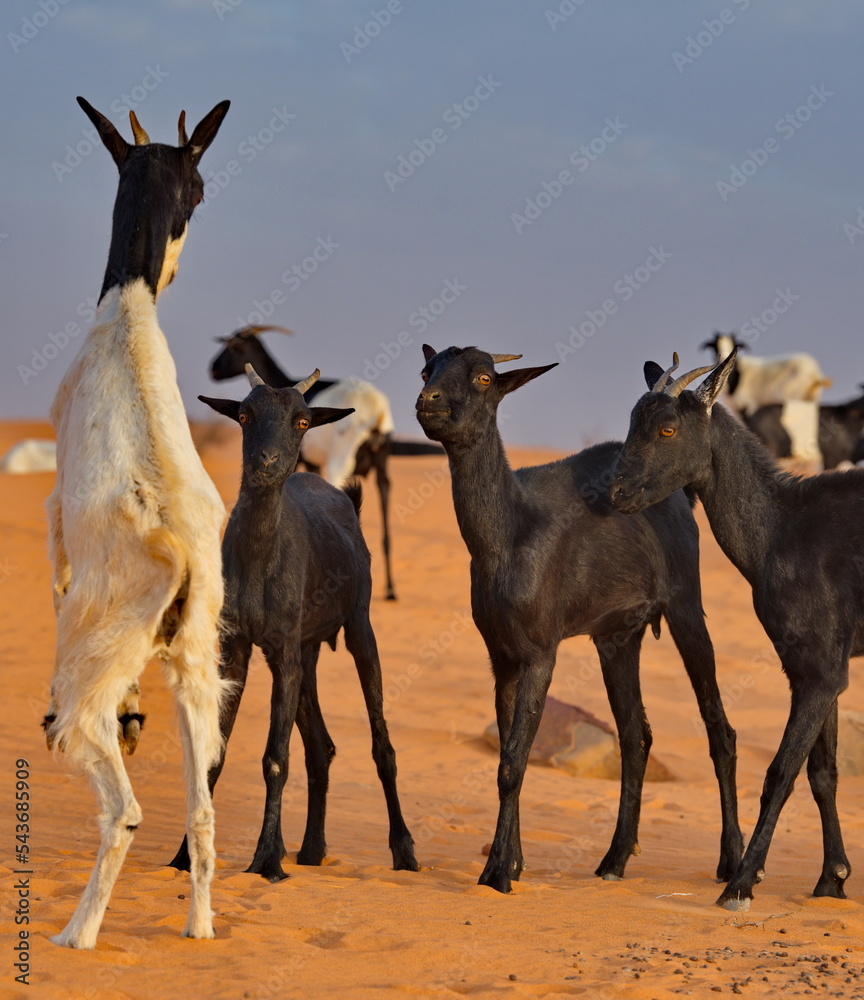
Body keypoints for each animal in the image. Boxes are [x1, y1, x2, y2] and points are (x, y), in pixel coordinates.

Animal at [170, 364, 417, 882]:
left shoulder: (282, 650)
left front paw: (266, 859)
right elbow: (215, 753)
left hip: (359, 628)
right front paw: (187, 856)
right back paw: (310, 848)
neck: (261, 558)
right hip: (306, 651)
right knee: (321, 747)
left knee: (382, 746)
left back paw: (403, 850)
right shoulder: (237, 649)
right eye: (244, 414)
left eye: (302, 421)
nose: (267, 461)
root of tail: (346, 501)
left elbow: (275, 759)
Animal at [209, 324, 442, 600]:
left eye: (234, 346)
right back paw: (390, 590)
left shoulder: (302, 462)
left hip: (340, 461)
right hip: (382, 462)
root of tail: (376, 411)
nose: (213, 369)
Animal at [415, 345, 741, 893]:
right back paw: (615, 859)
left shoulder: (540, 653)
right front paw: (511, 864)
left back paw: (733, 862)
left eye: (484, 378)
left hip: (686, 610)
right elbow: (509, 756)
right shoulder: (502, 658)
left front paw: (498, 872)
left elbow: (513, 762)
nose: (428, 402)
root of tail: (681, 494)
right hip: (617, 638)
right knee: (635, 736)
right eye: (426, 369)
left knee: (720, 730)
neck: (509, 532)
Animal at [609, 350, 864, 910]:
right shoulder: (816, 667)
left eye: (666, 428)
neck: (781, 531)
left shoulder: (819, 670)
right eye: (630, 421)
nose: (615, 491)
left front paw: (741, 883)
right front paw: (831, 879)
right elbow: (823, 772)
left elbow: (780, 772)